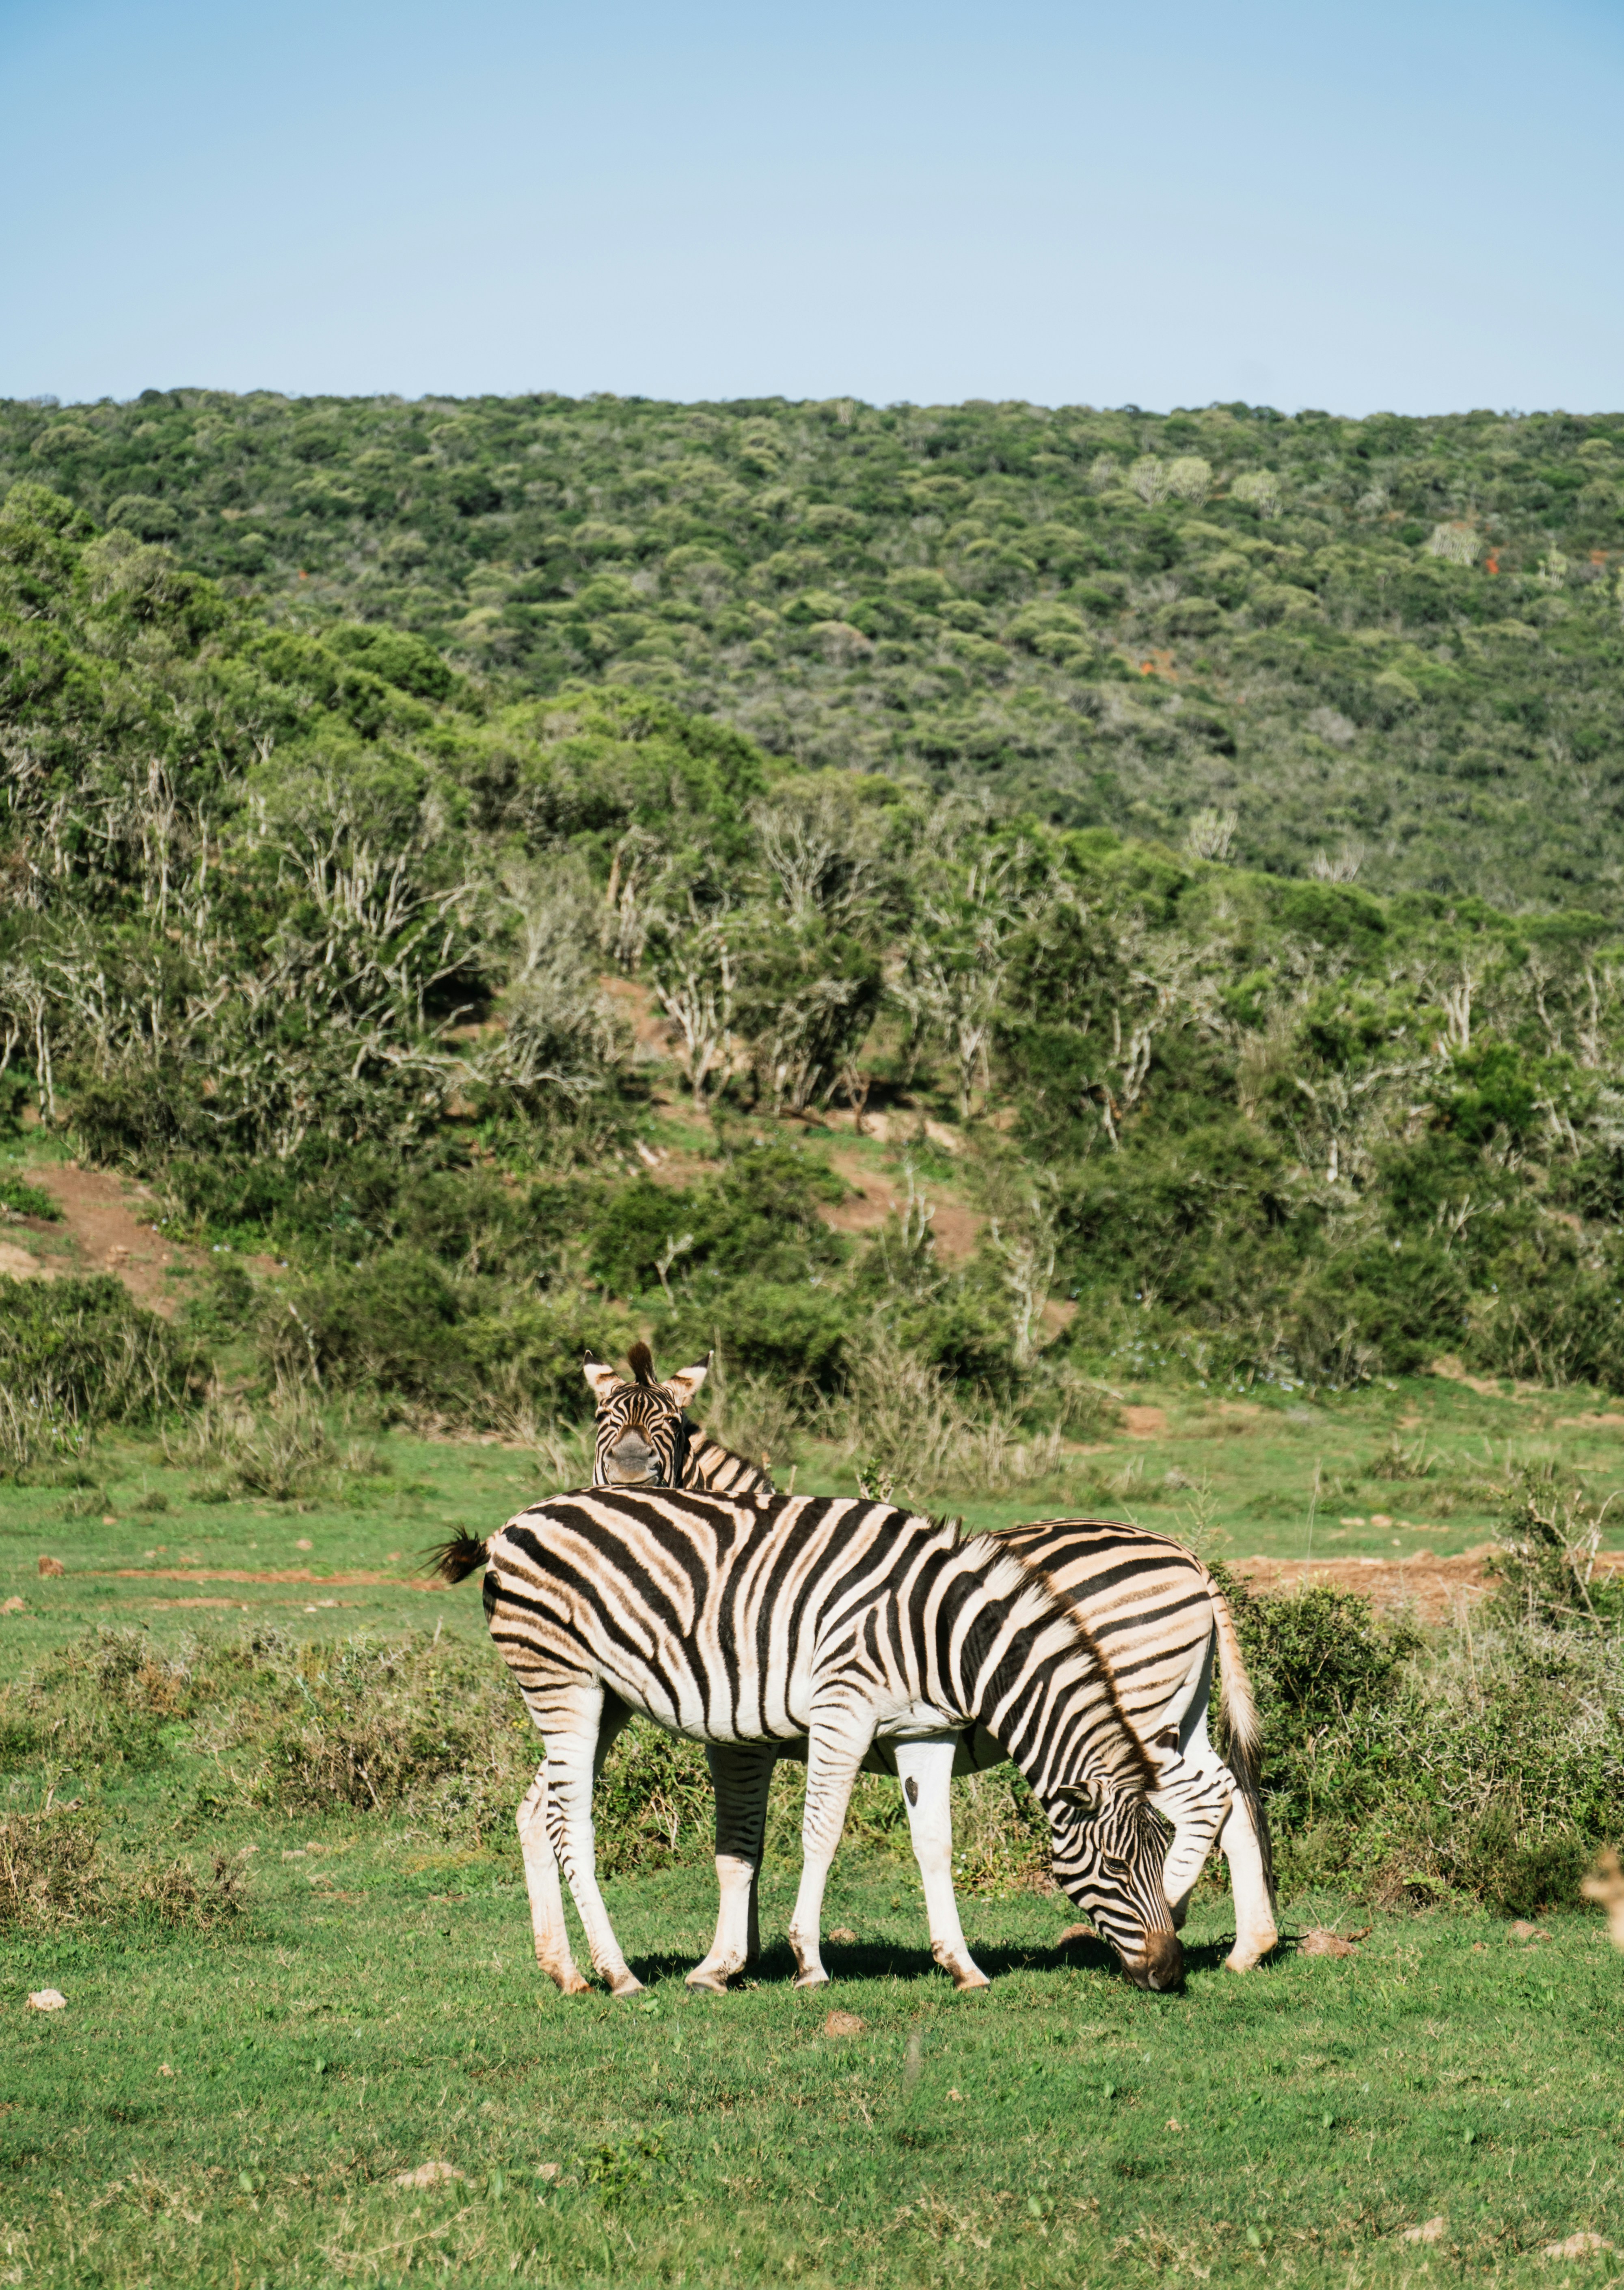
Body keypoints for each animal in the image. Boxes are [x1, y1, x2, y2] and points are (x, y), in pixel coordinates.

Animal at [431, 1488, 1192, 1996]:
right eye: (1118, 1867)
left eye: (1165, 1858)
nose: (1170, 1970)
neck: (943, 1634)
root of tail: (510, 1527)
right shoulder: (842, 1708)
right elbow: (820, 1833)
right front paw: (808, 1961)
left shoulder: (925, 1727)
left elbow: (934, 1843)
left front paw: (963, 1965)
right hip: (564, 1681)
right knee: (571, 1821)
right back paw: (617, 1972)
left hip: (607, 1694)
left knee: (537, 1810)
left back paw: (565, 1970)